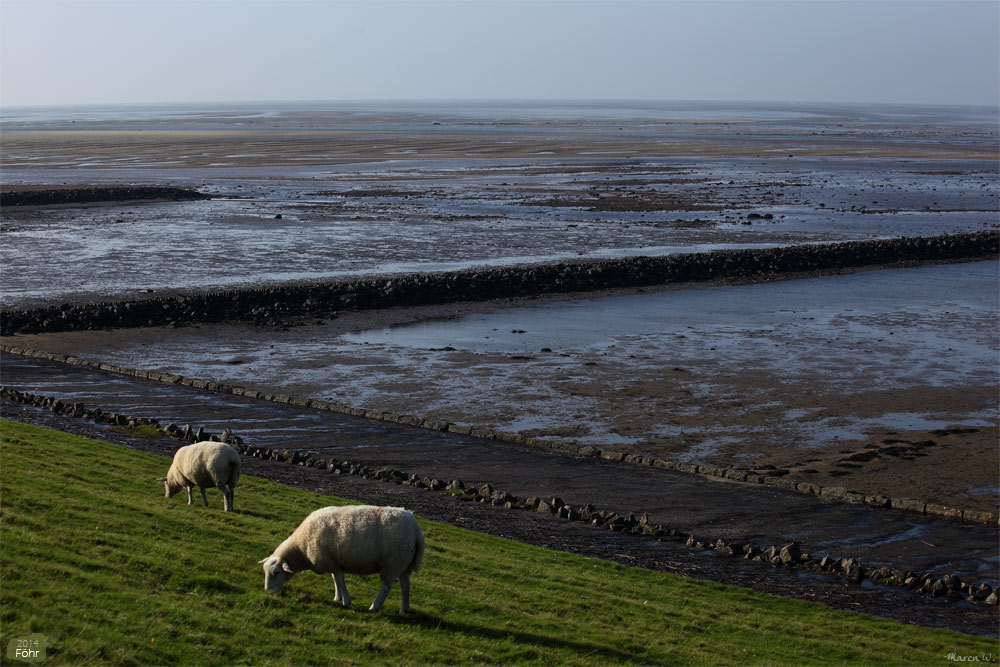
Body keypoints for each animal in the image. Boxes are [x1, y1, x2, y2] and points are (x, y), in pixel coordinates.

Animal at [256, 506, 424, 616]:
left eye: (277, 572)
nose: (268, 591)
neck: (301, 547)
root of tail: (416, 528)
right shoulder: (332, 561)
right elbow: (335, 580)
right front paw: (338, 597)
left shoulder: (330, 562)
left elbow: (339, 581)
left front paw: (346, 601)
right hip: (403, 563)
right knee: (405, 585)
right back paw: (404, 610)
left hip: (393, 562)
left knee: (386, 586)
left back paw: (374, 607)